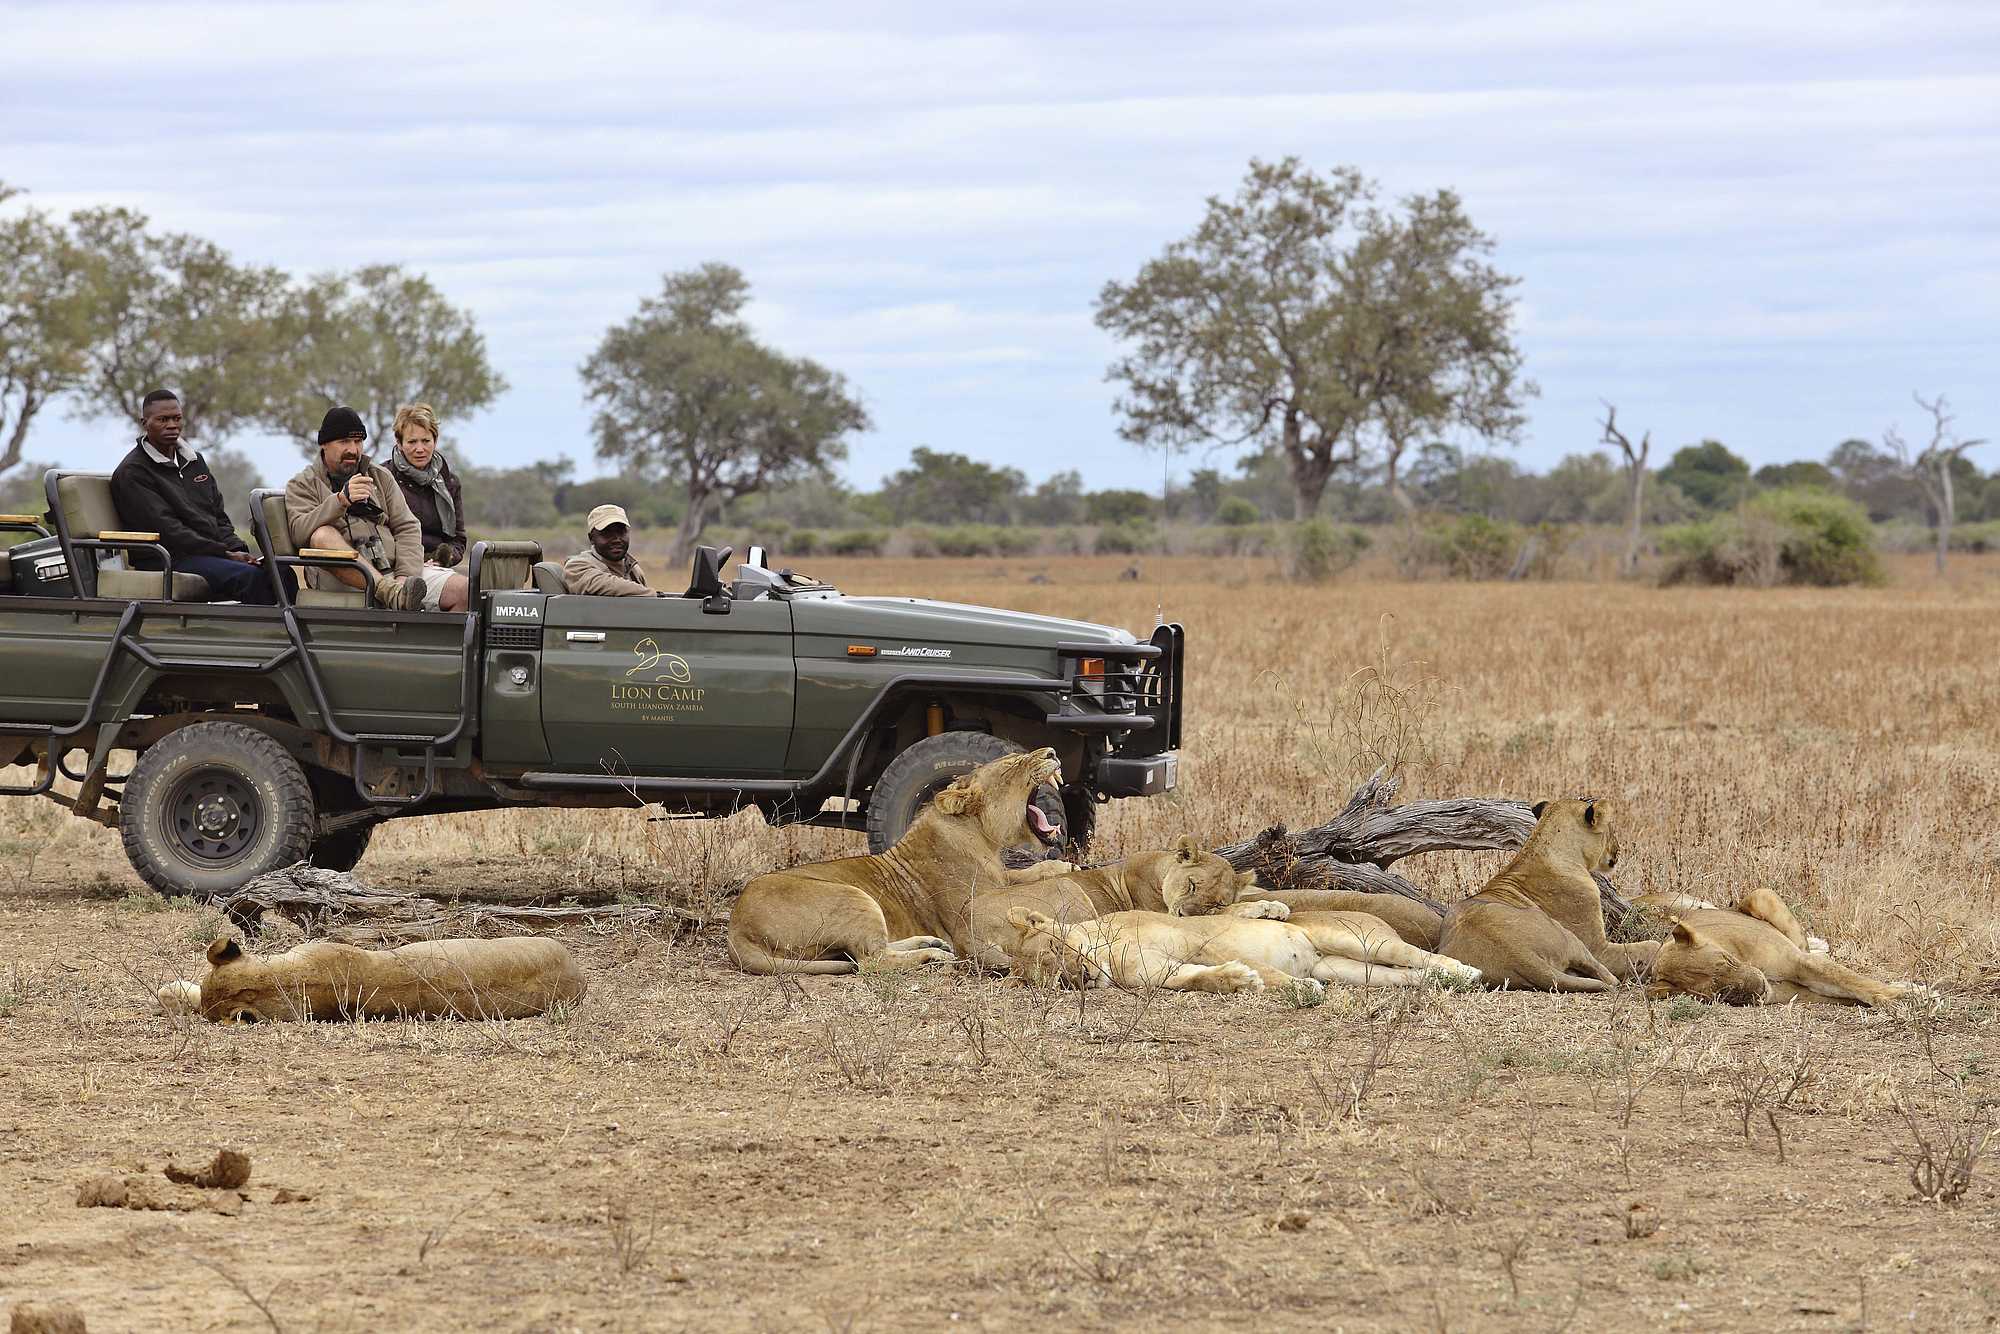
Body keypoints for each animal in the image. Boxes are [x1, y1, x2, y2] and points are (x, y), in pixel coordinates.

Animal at [728, 747, 1076, 975]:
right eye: (1011, 765)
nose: (1051, 752)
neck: (981, 837)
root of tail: (735, 925)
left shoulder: (999, 875)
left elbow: (1022, 872)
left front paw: (1065, 866)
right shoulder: (971, 905)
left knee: (874, 949)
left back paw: (931, 943)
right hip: (854, 896)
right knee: (870, 961)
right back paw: (936, 956)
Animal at [963, 835, 1255, 969]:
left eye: (1216, 903)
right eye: (1192, 884)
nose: (1185, 914)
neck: (1160, 868)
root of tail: (963, 933)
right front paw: (1261, 908)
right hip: (1069, 886)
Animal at [1437, 798, 1658, 993]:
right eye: (1611, 829)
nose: (1618, 849)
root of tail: (1517, 953)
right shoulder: (1598, 947)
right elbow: (1650, 946)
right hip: (1572, 938)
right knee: (1609, 978)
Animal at [1648, 886, 1914, 1007]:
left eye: (1726, 960)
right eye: (1718, 992)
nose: (1756, 988)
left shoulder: (1799, 961)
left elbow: (1854, 980)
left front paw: (1913, 993)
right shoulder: (1798, 993)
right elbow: (1854, 990)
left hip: (1760, 894)